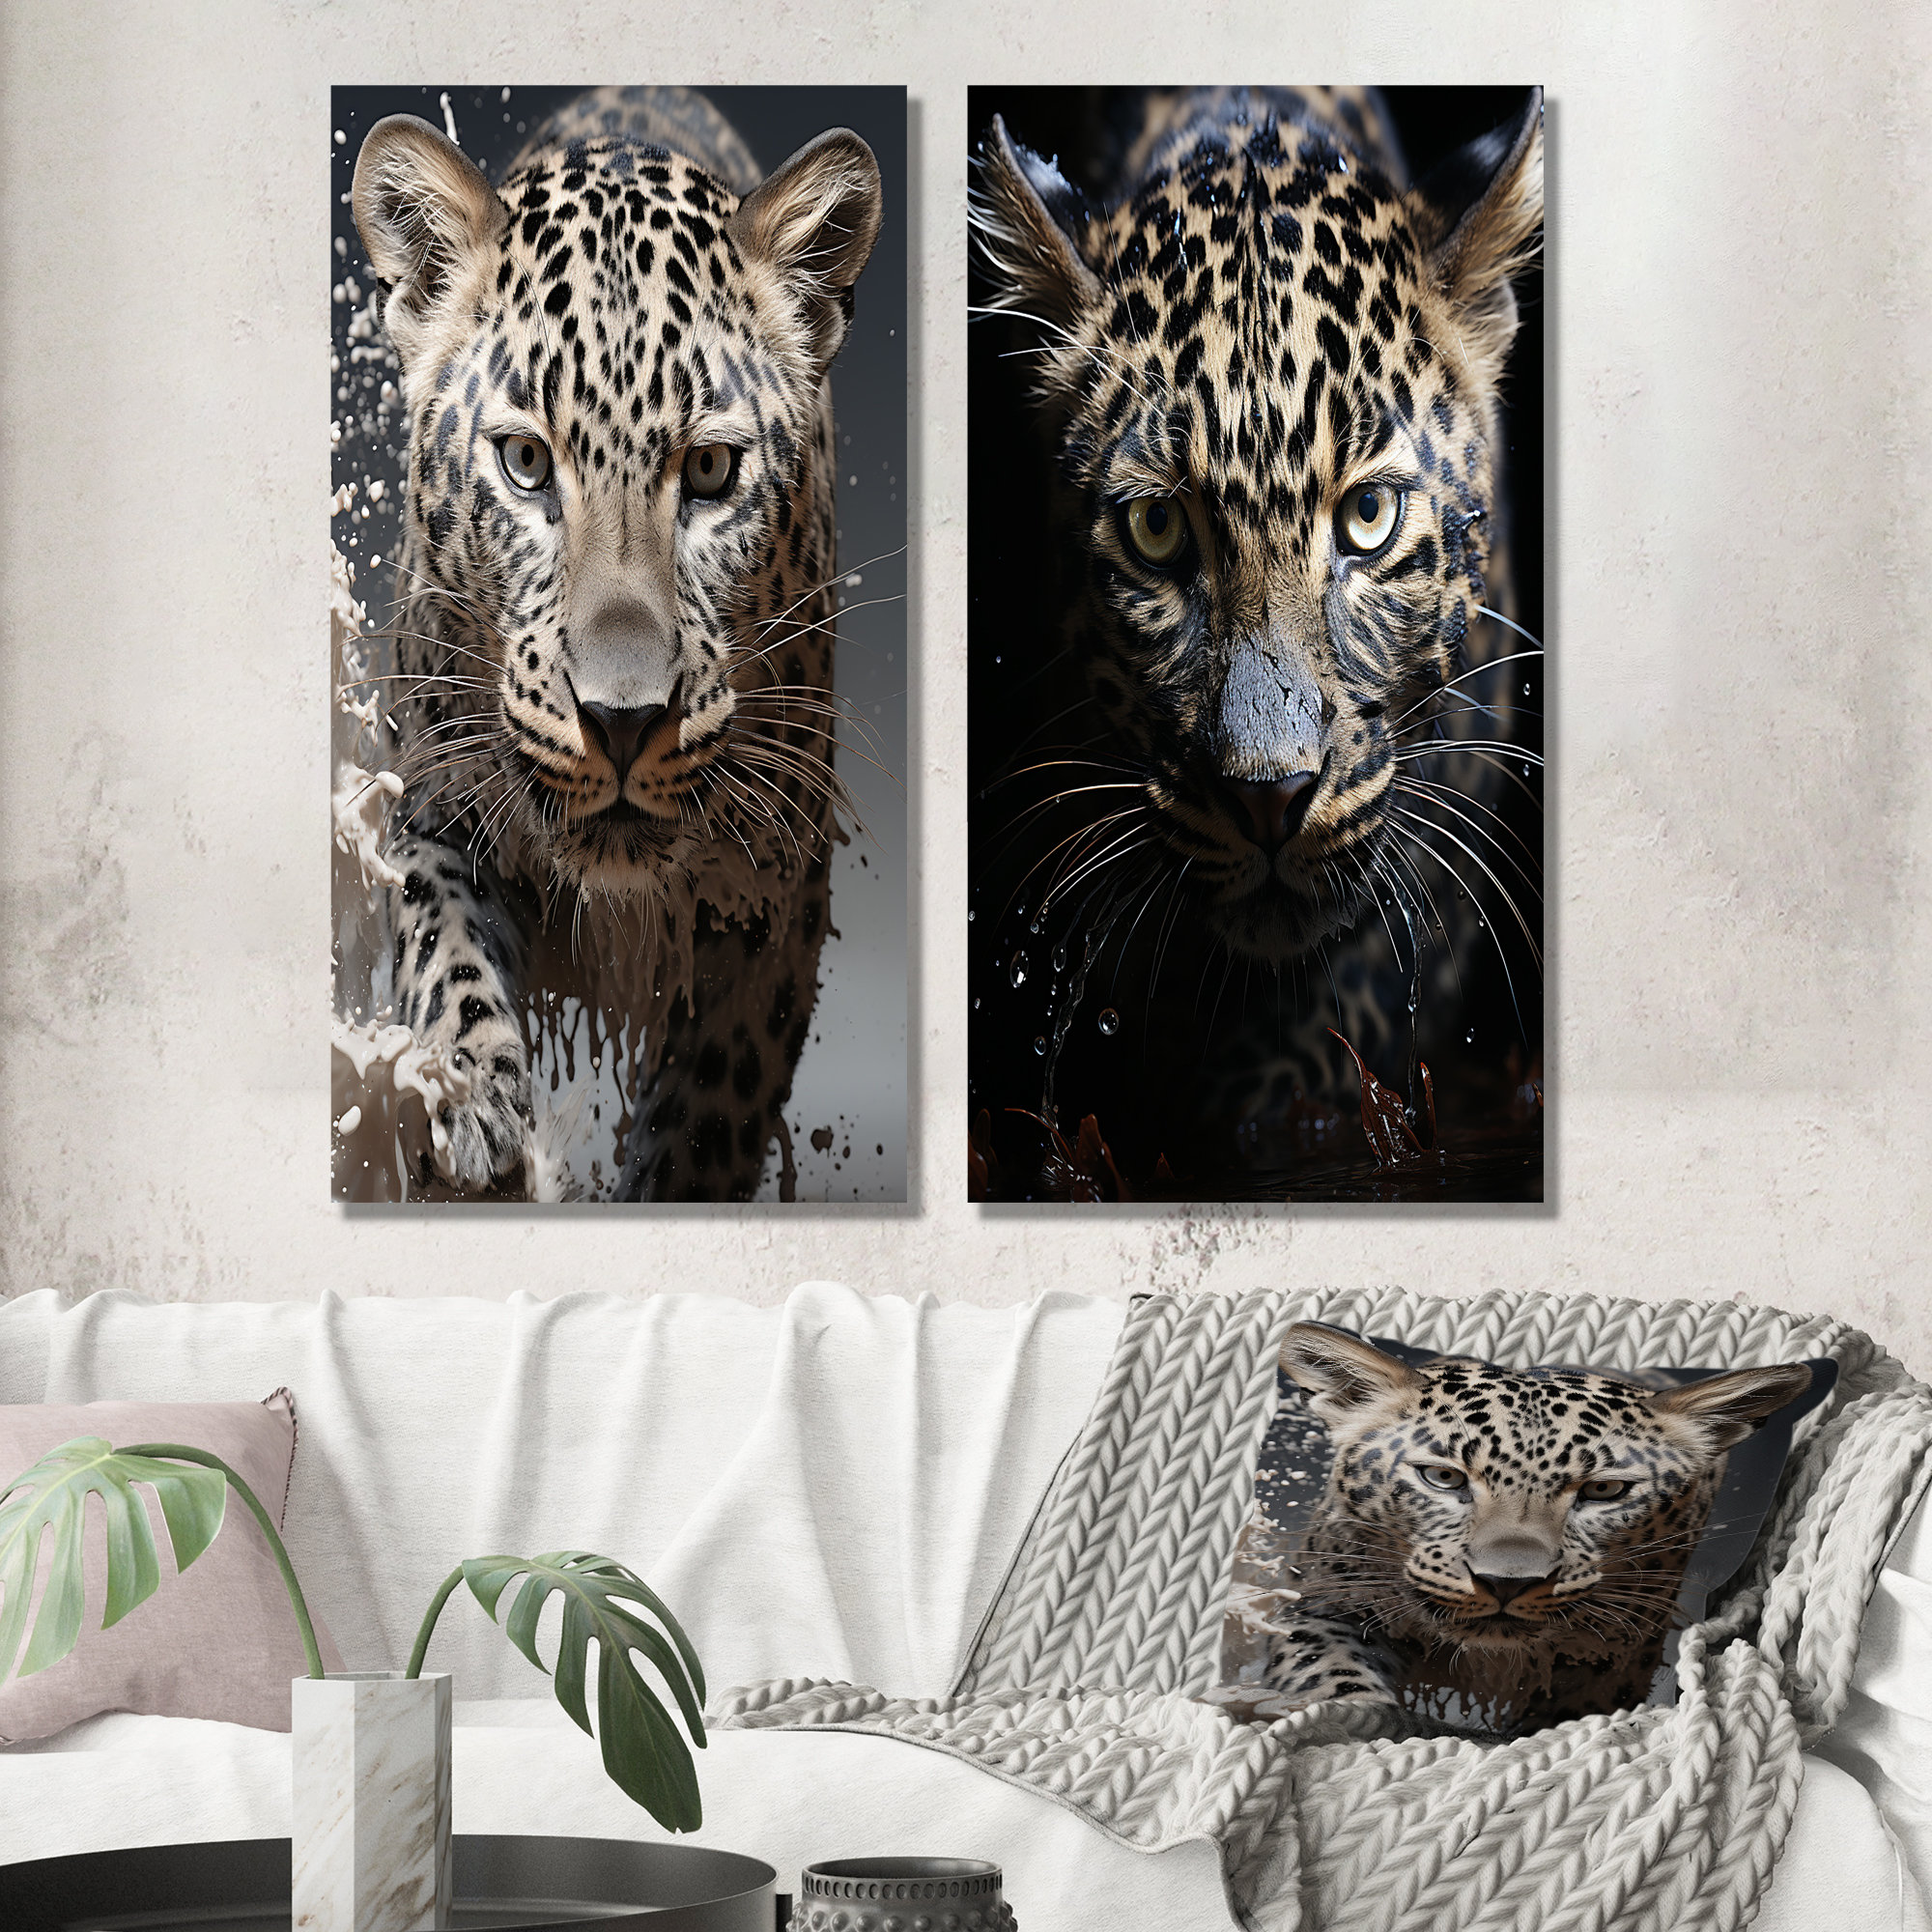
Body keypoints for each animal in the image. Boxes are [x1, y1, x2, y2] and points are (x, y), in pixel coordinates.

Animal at [345, 87, 882, 1200]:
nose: (622, 723)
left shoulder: (774, 892)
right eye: (524, 461)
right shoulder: (430, 803)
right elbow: (441, 939)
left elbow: (716, 1099)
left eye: (712, 471)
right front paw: (473, 1102)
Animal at [1228, 1322, 1812, 1732]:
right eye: (1443, 1477)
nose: (1506, 1583)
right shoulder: (1330, 1607)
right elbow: (1329, 1676)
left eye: (1604, 1490)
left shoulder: (1613, 1658)